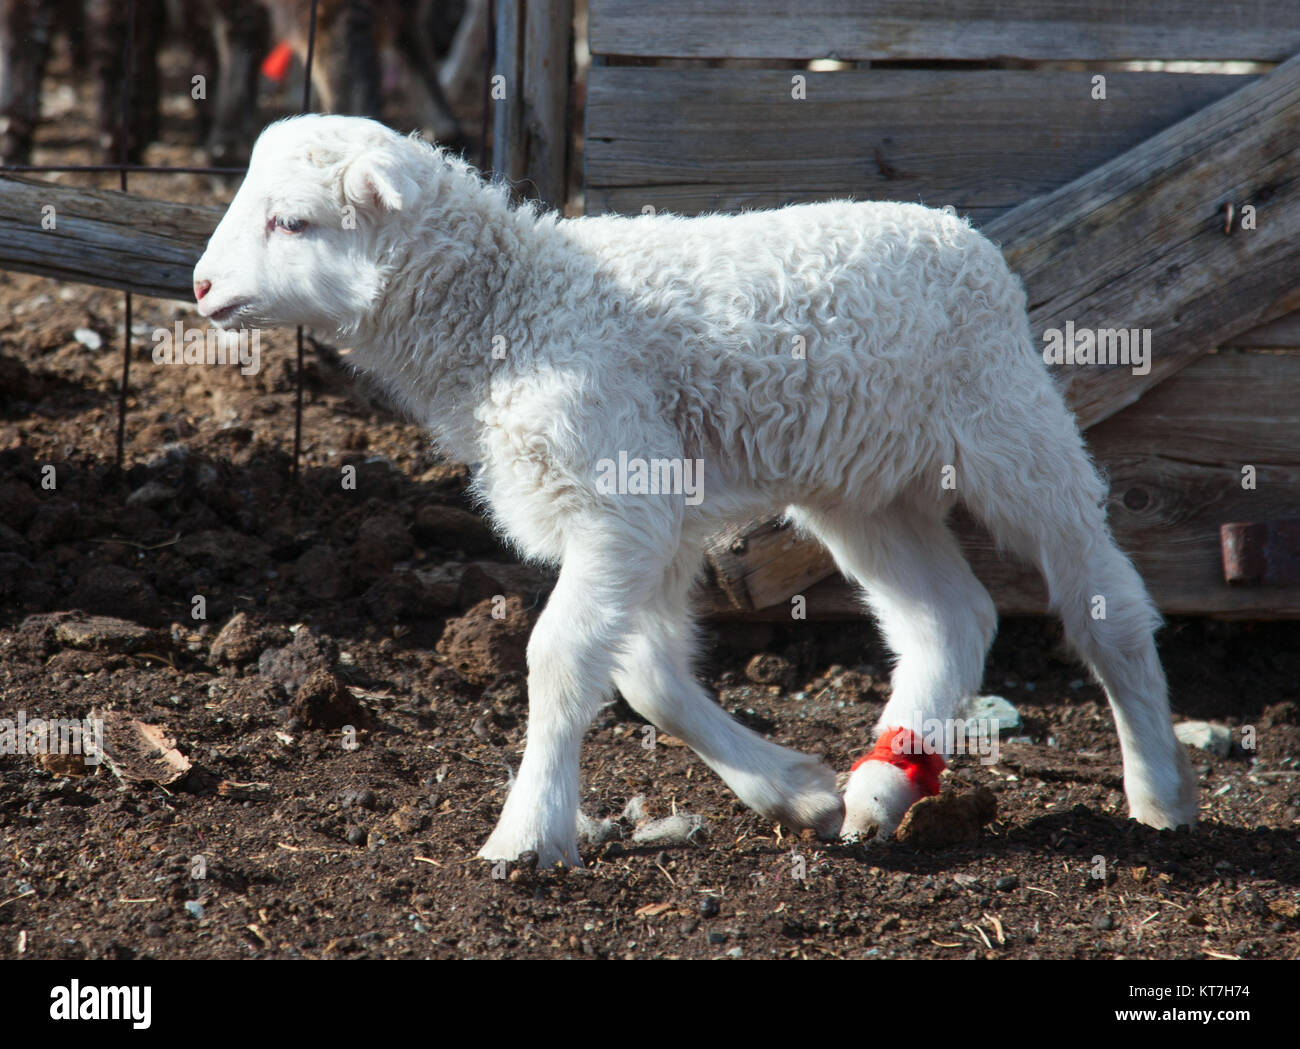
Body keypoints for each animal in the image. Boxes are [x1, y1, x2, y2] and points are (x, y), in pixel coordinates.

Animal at [193, 114, 1199, 867]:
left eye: (293, 223)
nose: (200, 286)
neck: (515, 307)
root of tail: (962, 231)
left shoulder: (621, 496)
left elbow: (560, 657)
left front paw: (526, 834)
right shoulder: (652, 522)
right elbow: (645, 679)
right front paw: (793, 792)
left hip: (1009, 428)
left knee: (1102, 596)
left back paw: (1160, 794)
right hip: (865, 489)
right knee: (950, 617)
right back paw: (879, 787)